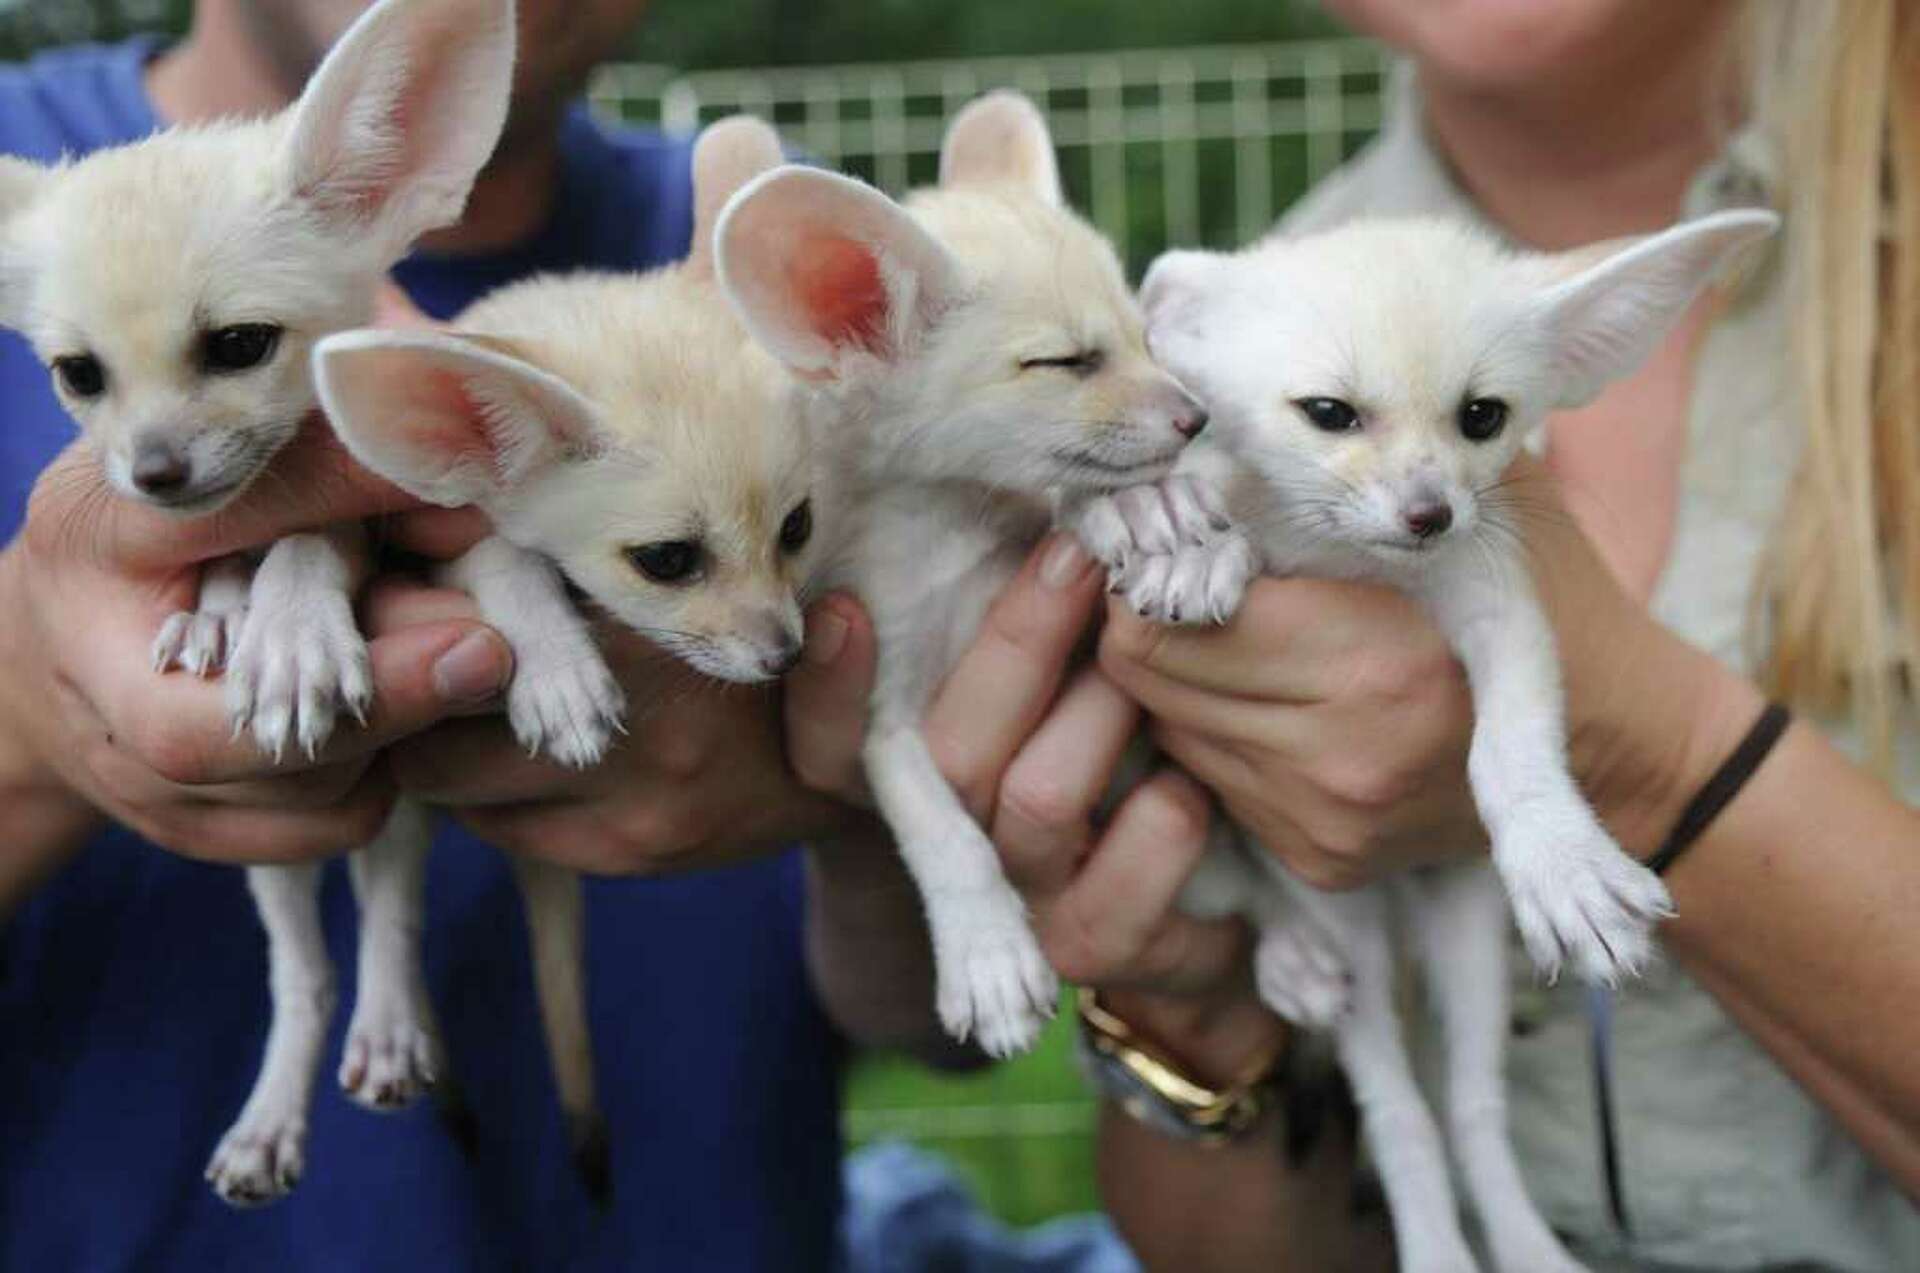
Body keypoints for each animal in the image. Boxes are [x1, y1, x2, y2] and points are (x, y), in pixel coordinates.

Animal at [313, 113, 818, 1203]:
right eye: (668, 560)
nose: (787, 656)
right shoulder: (436, 533)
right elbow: (506, 556)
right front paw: (560, 675)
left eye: (798, 528)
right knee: (392, 898)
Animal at [714, 91, 1208, 1057]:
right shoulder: (880, 718)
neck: (948, 530)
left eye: (1144, 334)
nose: (1195, 417)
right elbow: (943, 831)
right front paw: (989, 957)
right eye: (1066, 361)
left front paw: (1129, 509)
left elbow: (1063, 499)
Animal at [1076, 209, 1778, 1272]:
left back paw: (1523, 1246)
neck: (1364, 569)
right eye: (1330, 413)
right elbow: (1224, 496)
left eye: (1481, 417)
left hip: (1466, 933)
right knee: (1390, 1099)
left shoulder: (1503, 609)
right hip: (1342, 927)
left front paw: (1563, 865)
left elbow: (1509, 753)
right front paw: (1194, 543)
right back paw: (1298, 980)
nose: (1429, 514)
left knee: (1470, 1111)